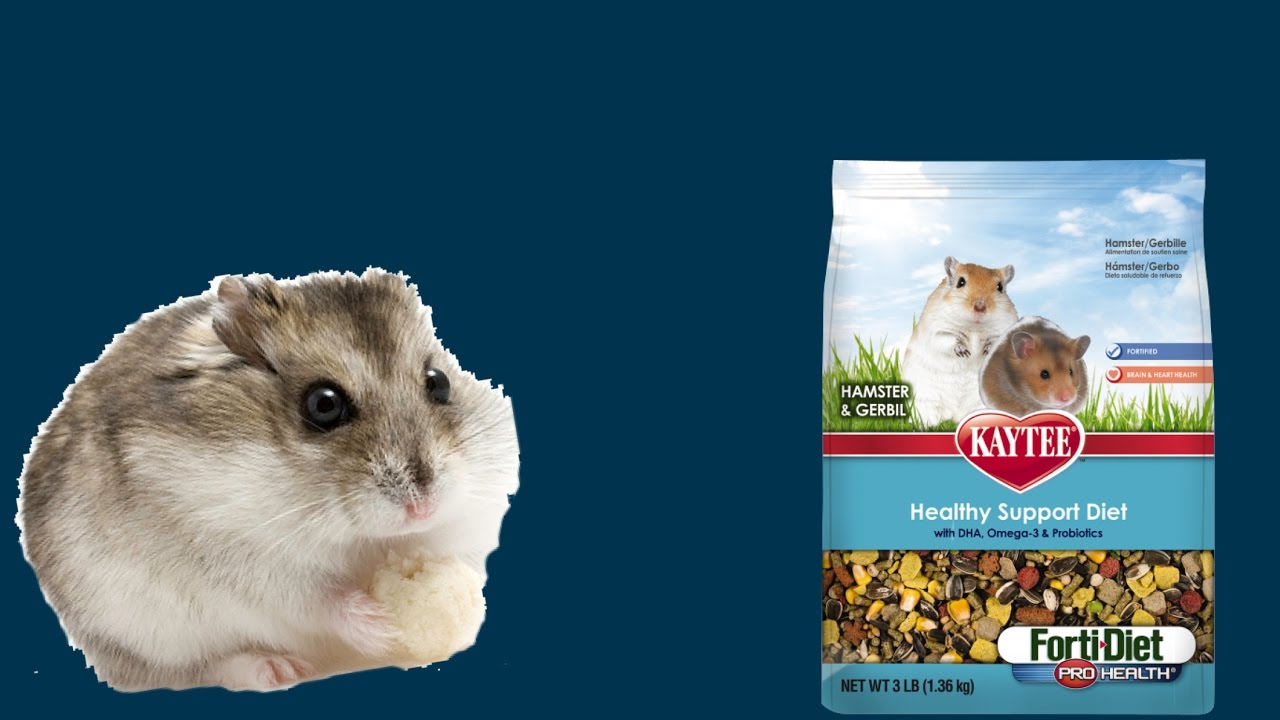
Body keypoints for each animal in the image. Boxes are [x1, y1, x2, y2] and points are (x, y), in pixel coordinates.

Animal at [17, 270, 519, 691]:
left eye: (439, 383)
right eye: (323, 404)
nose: (423, 508)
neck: (360, 540)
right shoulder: (241, 556)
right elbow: (315, 598)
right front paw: (382, 623)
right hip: (134, 635)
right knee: (187, 670)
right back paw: (275, 669)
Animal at [901, 257, 1017, 426]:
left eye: (1000, 287)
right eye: (961, 282)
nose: (980, 306)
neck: (974, 327)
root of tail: (955, 414)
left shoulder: (1004, 330)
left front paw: (986, 351)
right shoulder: (937, 330)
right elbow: (949, 340)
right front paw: (964, 353)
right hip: (923, 400)